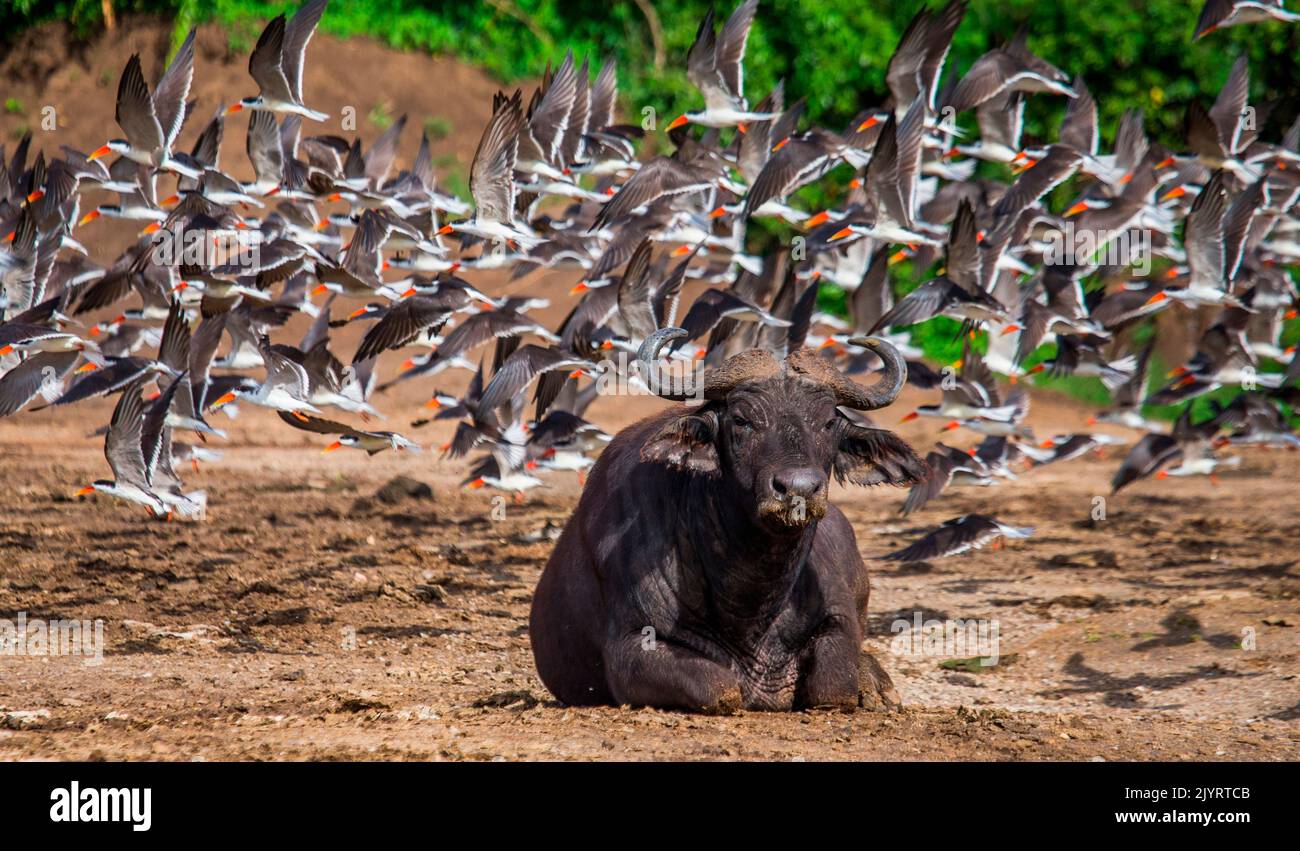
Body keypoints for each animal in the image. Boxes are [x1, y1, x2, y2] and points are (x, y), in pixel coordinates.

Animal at [530, 329, 926, 712]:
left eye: (828, 422)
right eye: (742, 420)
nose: (798, 488)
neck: (752, 595)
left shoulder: (838, 623)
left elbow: (835, 682)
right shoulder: (631, 648)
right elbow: (720, 686)